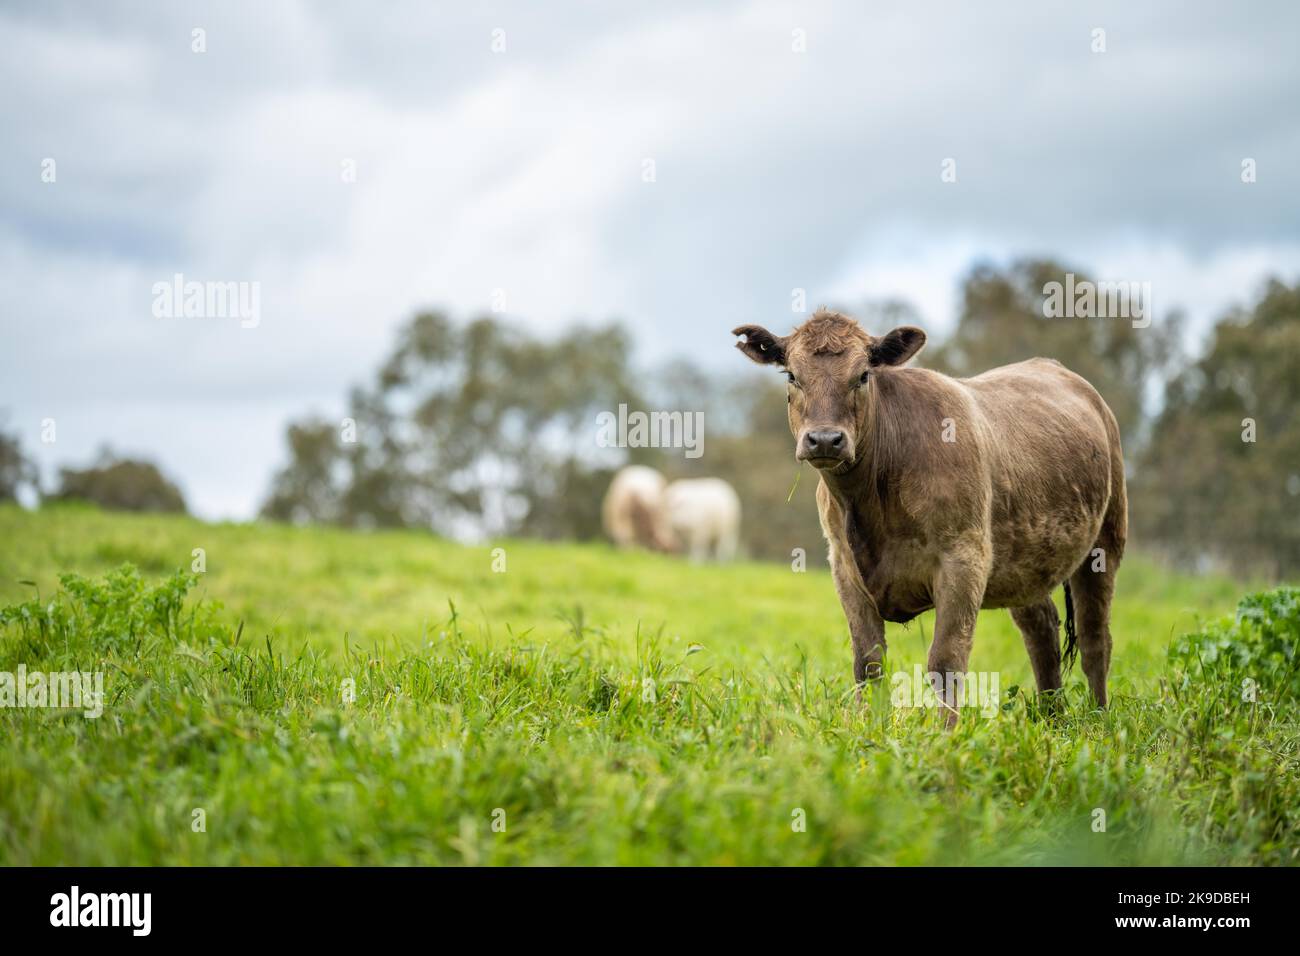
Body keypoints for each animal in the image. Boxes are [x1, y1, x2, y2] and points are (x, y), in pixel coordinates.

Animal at [733, 309, 1126, 724]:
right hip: (1024, 559)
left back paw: (1098, 719)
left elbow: (946, 662)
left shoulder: (963, 559)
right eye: (792, 375)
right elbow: (868, 663)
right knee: (1041, 630)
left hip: (1104, 545)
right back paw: (1053, 718)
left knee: (1095, 639)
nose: (825, 439)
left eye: (863, 375)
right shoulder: (843, 566)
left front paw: (944, 734)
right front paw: (869, 726)